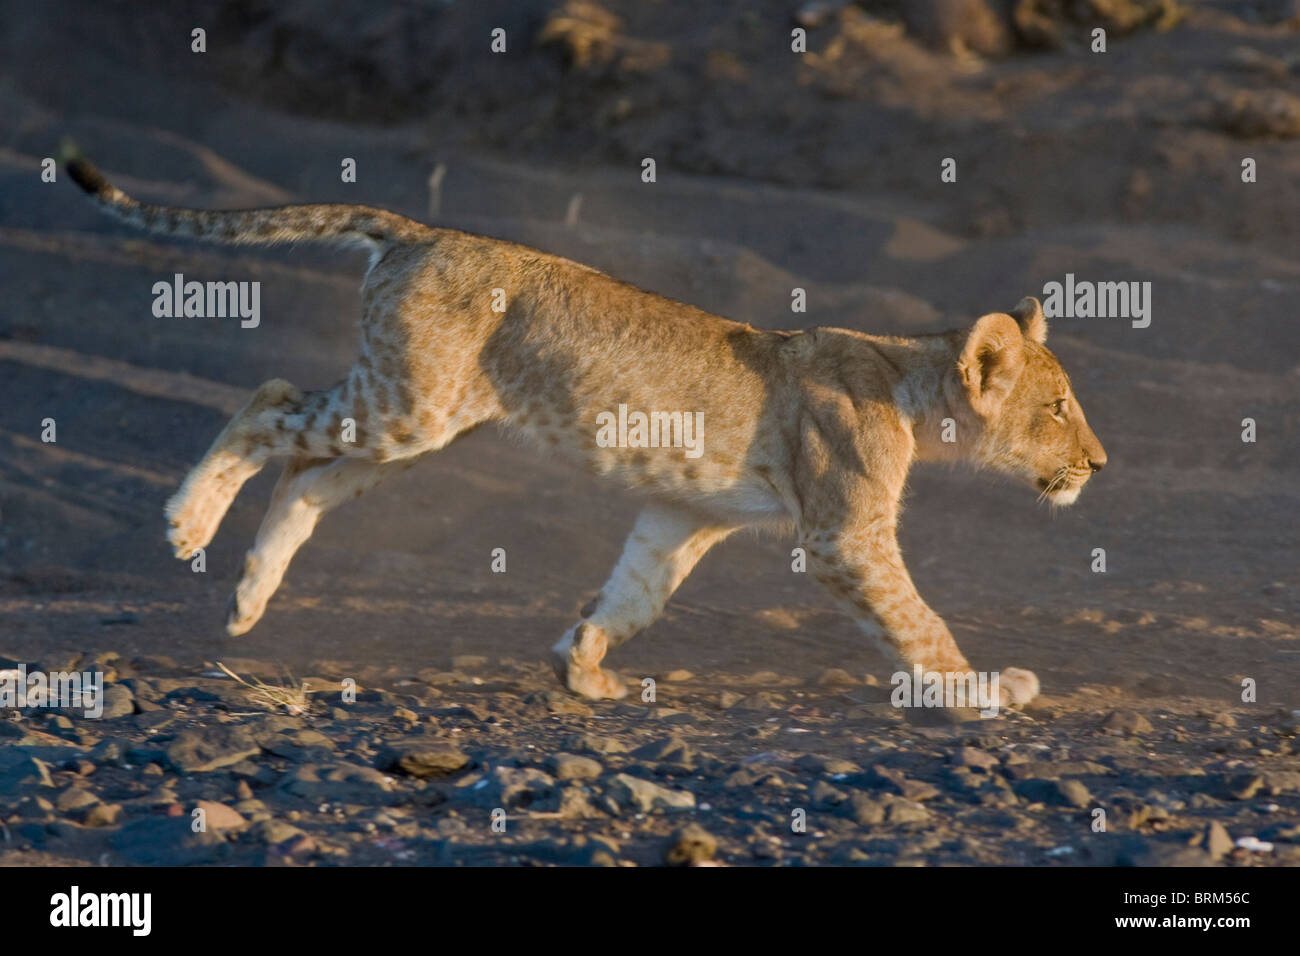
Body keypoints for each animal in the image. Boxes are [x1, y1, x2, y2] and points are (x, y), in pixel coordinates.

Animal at [65, 151, 1106, 707]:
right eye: (1057, 406)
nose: (1098, 462)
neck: (911, 382)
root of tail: (423, 231)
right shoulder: (844, 535)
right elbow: (920, 622)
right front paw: (982, 693)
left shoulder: (685, 517)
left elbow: (633, 594)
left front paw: (583, 671)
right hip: (403, 406)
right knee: (267, 399)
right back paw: (187, 528)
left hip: (415, 425)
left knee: (305, 478)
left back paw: (248, 598)